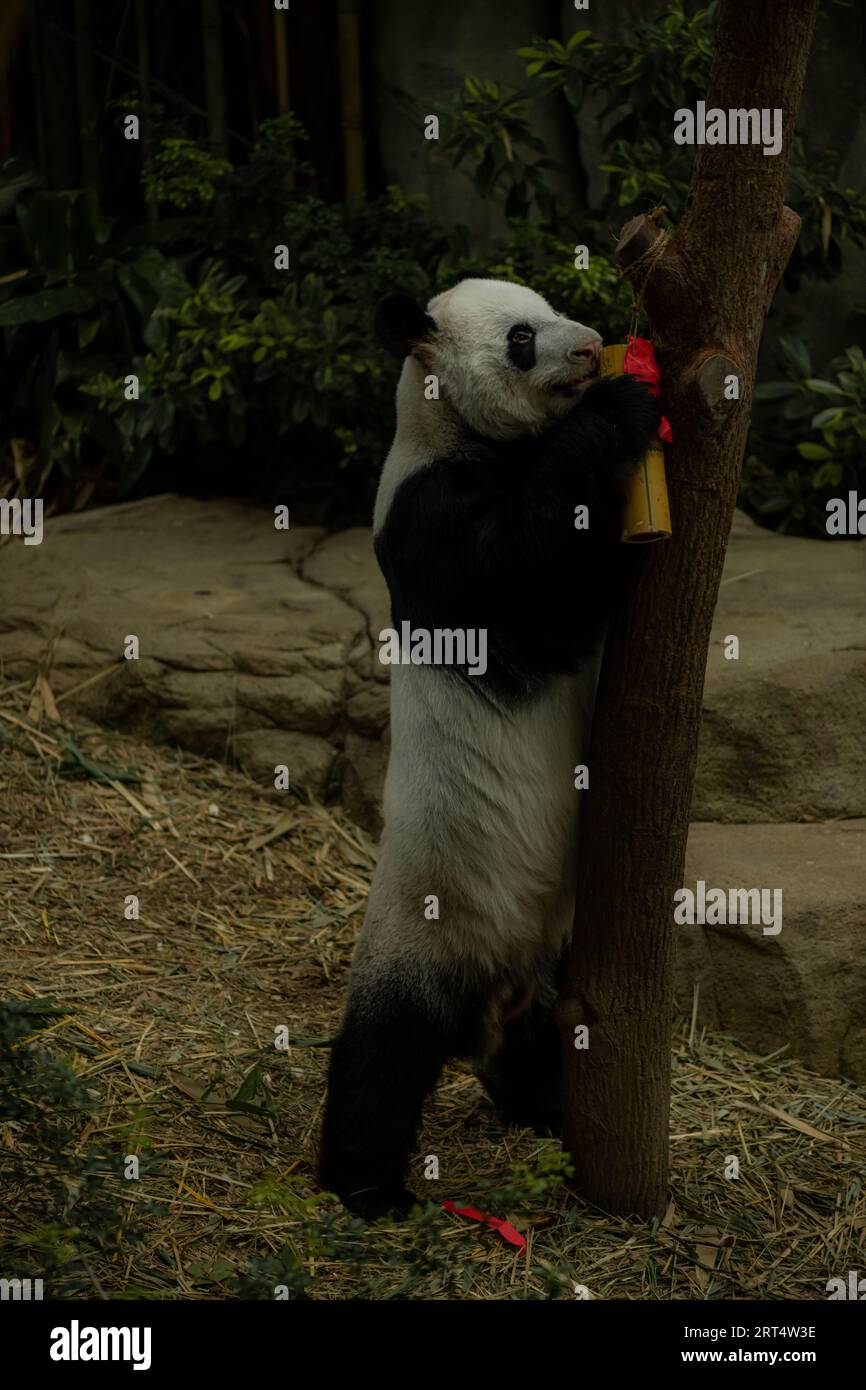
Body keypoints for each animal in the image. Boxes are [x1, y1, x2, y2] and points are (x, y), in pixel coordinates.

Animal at [319, 277, 659, 1219]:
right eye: (519, 338)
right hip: (426, 924)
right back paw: (366, 1186)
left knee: (542, 1033)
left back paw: (541, 1103)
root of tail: (489, 998)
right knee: (382, 1055)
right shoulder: (429, 521)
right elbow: (531, 579)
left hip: (549, 950)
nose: (585, 346)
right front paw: (620, 411)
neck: (445, 430)